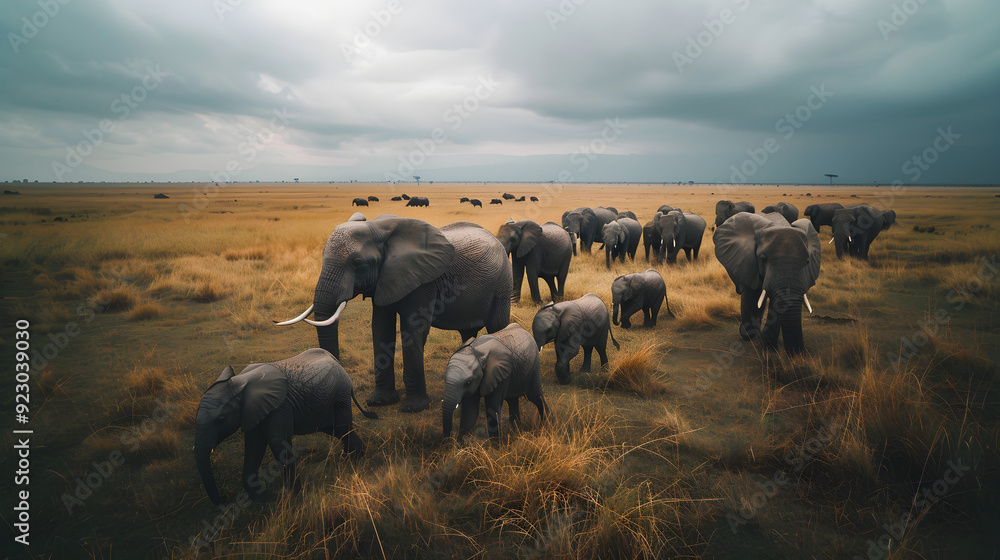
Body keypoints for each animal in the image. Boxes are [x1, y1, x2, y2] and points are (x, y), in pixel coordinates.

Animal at [194, 348, 375, 506]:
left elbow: (277, 442)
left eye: (221, 420)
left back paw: (354, 458)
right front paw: (260, 498)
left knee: (342, 427)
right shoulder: (253, 412)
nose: (224, 499)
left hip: (340, 394)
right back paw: (355, 455)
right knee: (335, 429)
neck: (240, 383)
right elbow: (254, 445)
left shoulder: (280, 406)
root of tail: (335, 360)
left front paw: (294, 499)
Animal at [275, 216, 512, 412]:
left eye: (357, 263)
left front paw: (413, 407)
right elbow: (381, 327)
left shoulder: (424, 280)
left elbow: (412, 330)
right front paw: (379, 401)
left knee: (498, 326)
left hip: (502, 283)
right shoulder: (384, 280)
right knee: (467, 332)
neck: (380, 229)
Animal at [713, 213, 821, 354]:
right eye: (763, 259)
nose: (798, 353)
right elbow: (752, 296)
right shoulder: (748, 263)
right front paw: (750, 337)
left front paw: (768, 346)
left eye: (807, 261)